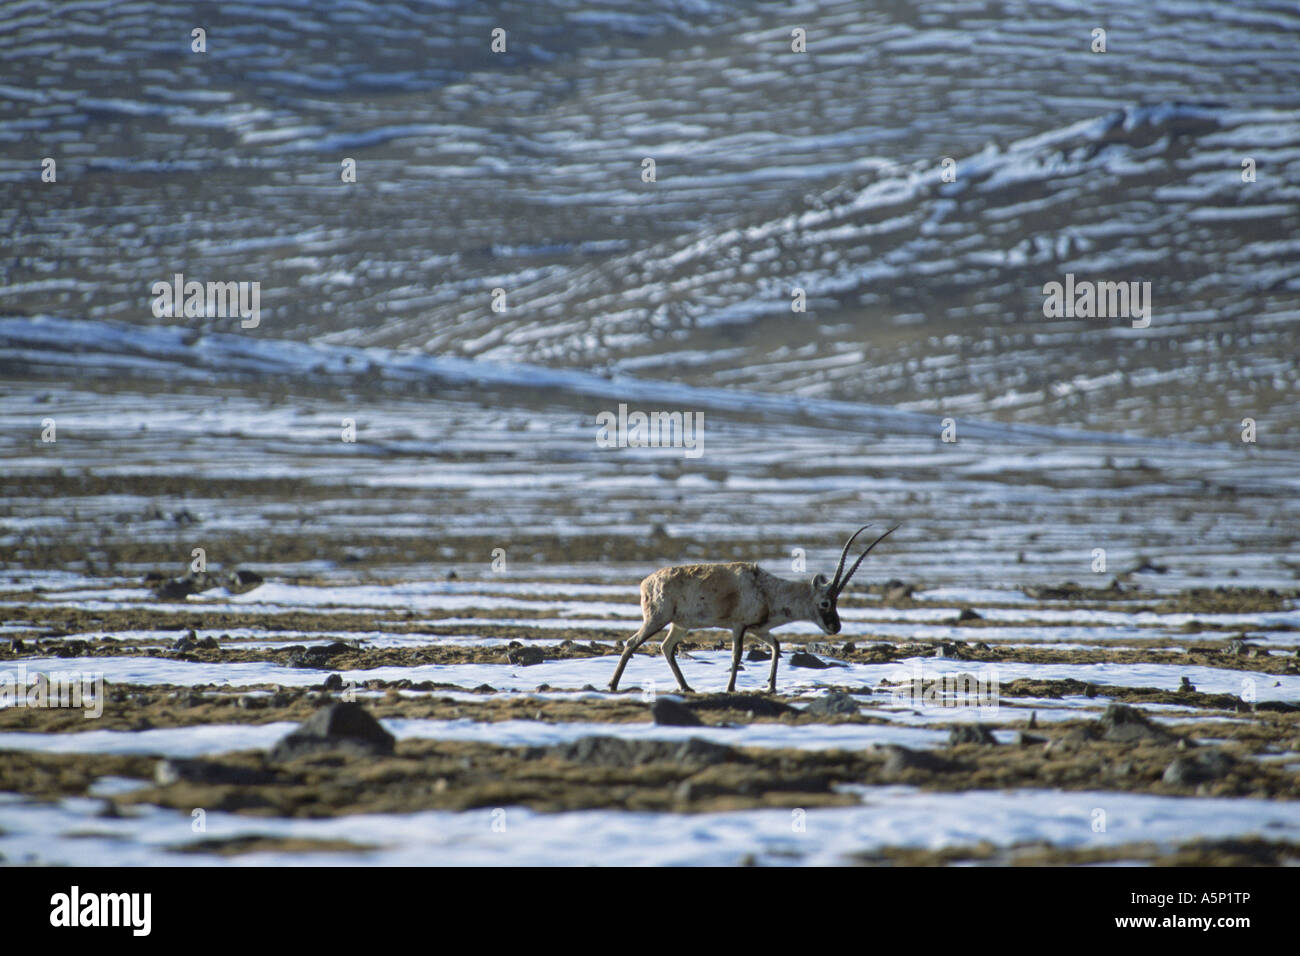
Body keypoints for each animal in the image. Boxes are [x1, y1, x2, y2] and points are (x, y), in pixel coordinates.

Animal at [607, 524, 898, 694]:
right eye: (825, 603)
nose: (835, 627)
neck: (767, 588)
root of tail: (646, 582)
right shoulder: (739, 626)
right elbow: (736, 655)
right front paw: (731, 688)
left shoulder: (759, 629)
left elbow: (777, 646)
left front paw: (771, 686)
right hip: (657, 618)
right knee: (631, 643)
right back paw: (613, 684)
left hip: (679, 625)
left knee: (666, 647)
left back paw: (686, 687)